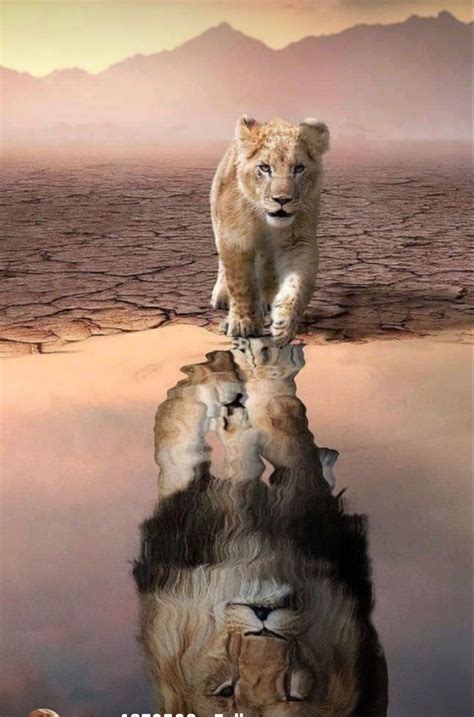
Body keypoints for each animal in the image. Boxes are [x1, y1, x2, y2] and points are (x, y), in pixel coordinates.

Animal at [133, 339, 388, 716]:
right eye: (226, 688)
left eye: (294, 689)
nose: (263, 613)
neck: (253, 555)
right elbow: (174, 431)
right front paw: (213, 383)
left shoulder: (306, 499)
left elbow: (283, 419)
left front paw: (266, 370)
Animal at [210, 116, 329, 345]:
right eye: (265, 168)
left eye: (298, 168)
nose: (282, 200)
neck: (264, 220)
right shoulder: (234, 239)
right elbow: (241, 282)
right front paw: (242, 322)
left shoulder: (297, 242)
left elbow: (298, 284)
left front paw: (284, 324)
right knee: (223, 263)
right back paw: (222, 296)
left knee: (268, 265)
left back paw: (268, 299)